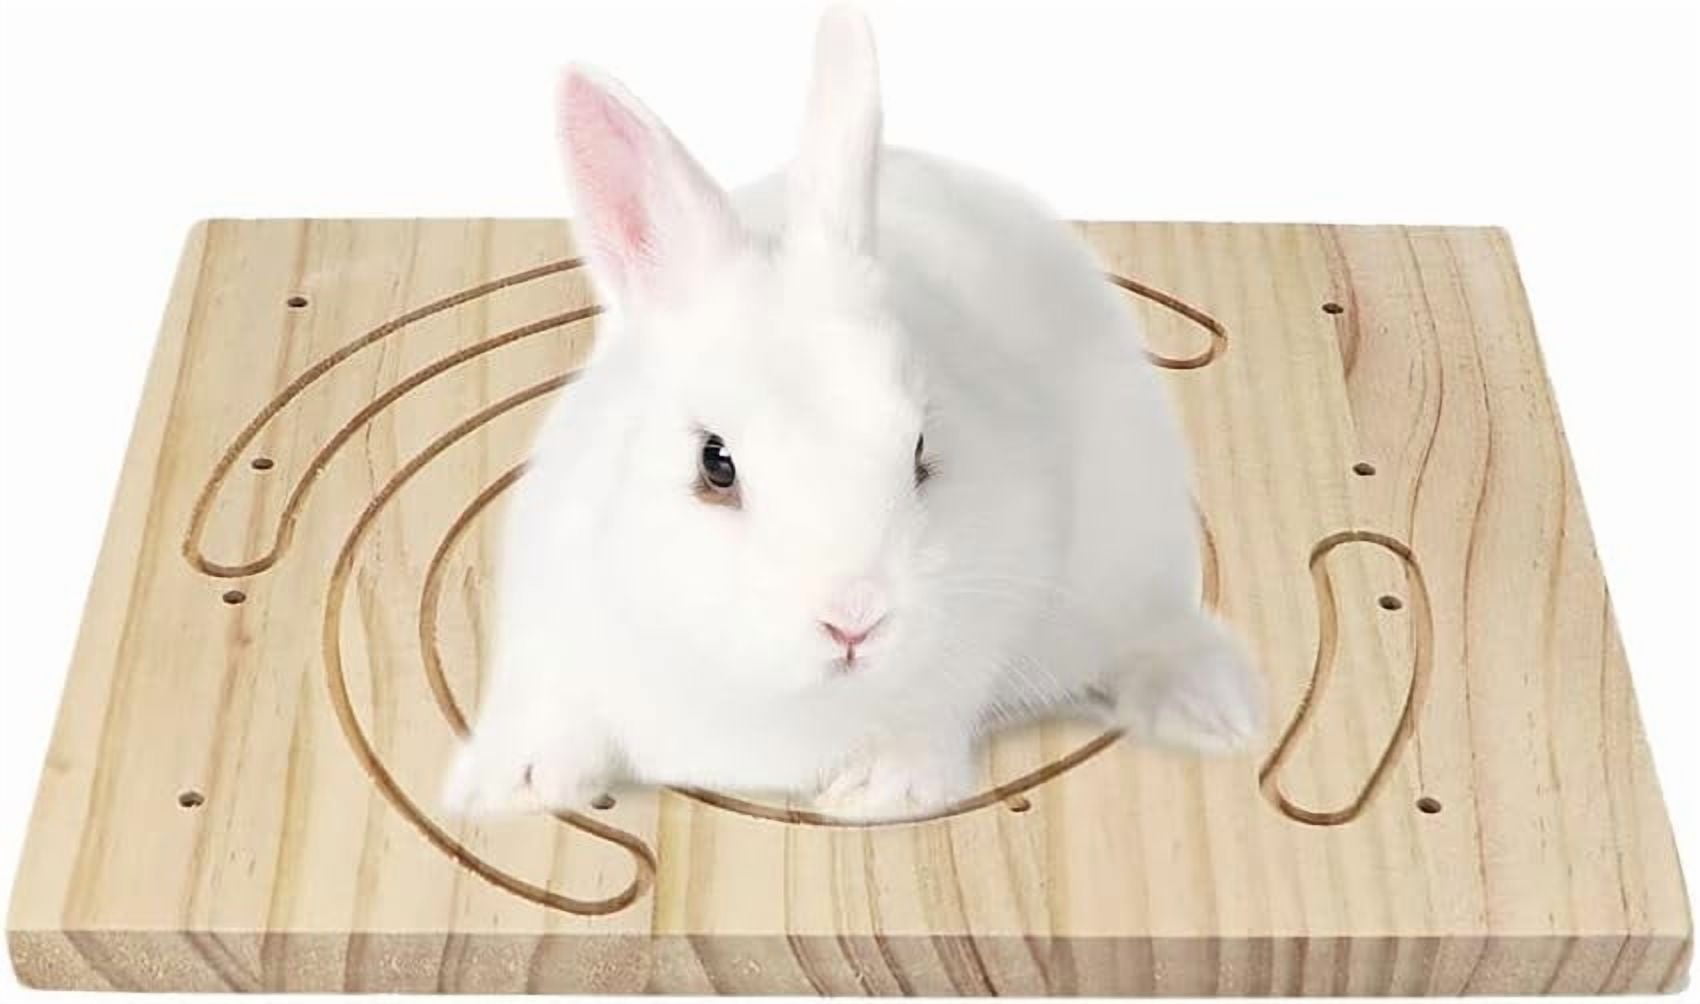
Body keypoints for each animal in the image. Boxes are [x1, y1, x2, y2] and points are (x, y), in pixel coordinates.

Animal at [442, 5, 1263, 822]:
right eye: (715, 463)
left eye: (920, 449)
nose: (855, 620)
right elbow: (553, 706)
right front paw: (511, 785)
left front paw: (879, 788)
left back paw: (1214, 712)